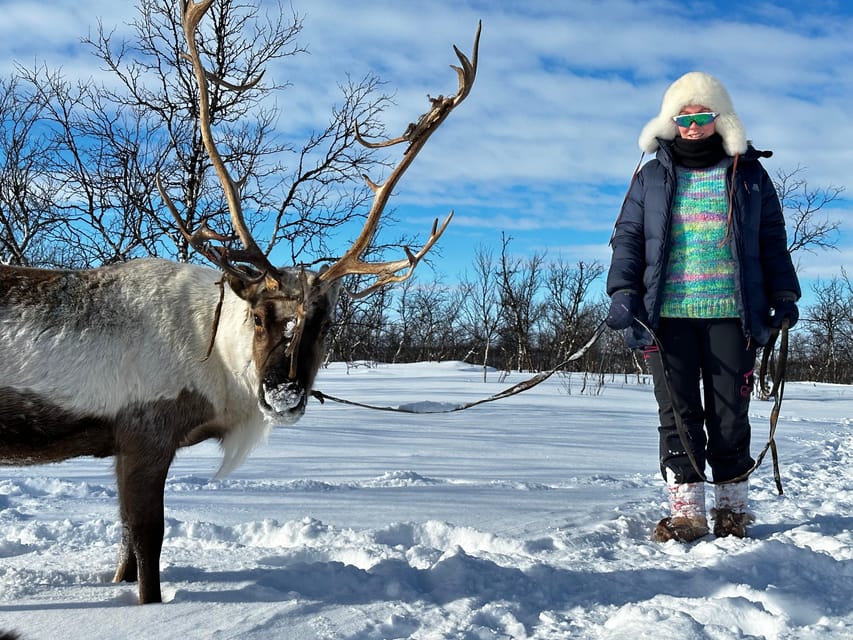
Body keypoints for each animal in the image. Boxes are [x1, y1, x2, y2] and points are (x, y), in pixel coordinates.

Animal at [0, 0, 479, 605]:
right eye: (256, 315)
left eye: (327, 323)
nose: (284, 394)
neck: (217, 366)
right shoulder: (143, 437)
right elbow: (146, 544)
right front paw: (149, 609)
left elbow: (125, 548)